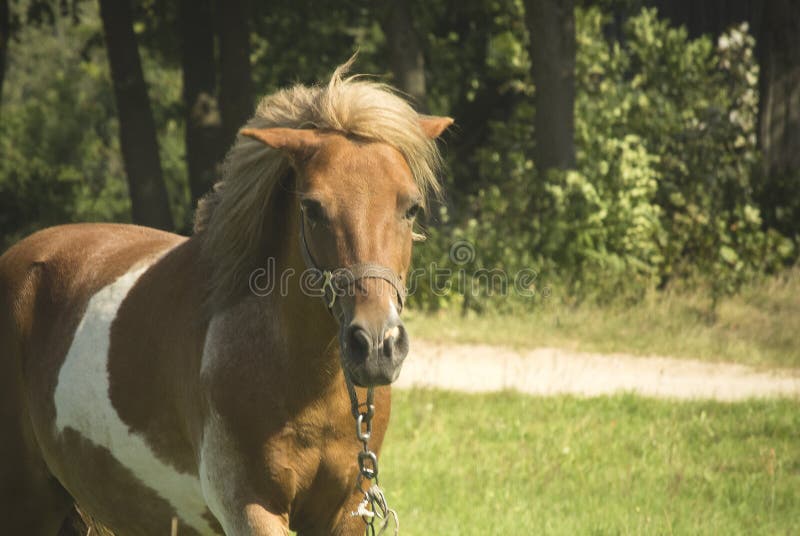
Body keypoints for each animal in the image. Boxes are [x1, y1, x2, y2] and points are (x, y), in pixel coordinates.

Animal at [0, 62, 452, 535]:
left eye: (410, 208)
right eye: (312, 208)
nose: (377, 346)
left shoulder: (345, 512)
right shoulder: (249, 509)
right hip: (24, 503)